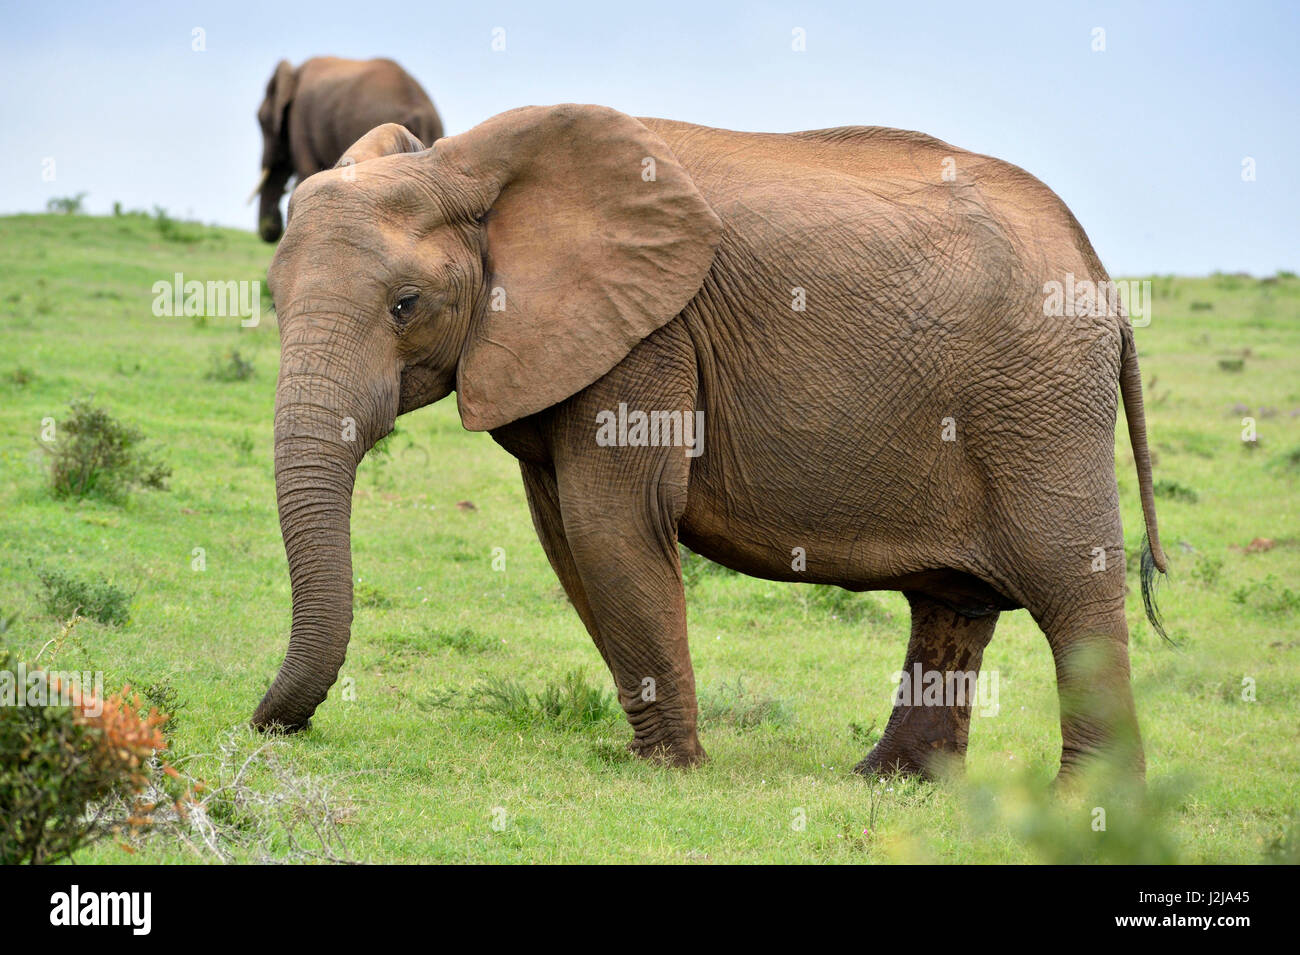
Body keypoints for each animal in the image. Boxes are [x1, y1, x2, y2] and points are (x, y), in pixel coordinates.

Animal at [251, 105, 1169, 783]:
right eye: (270, 293)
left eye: (406, 305)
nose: (265, 726)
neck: (468, 167)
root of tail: (1103, 279)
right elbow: (565, 534)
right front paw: (659, 754)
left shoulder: (650, 335)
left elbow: (612, 523)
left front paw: (670, 768)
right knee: (953, 603)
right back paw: (892, 780)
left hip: (1040, 404)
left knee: (1072, 590)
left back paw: (1088, 801)